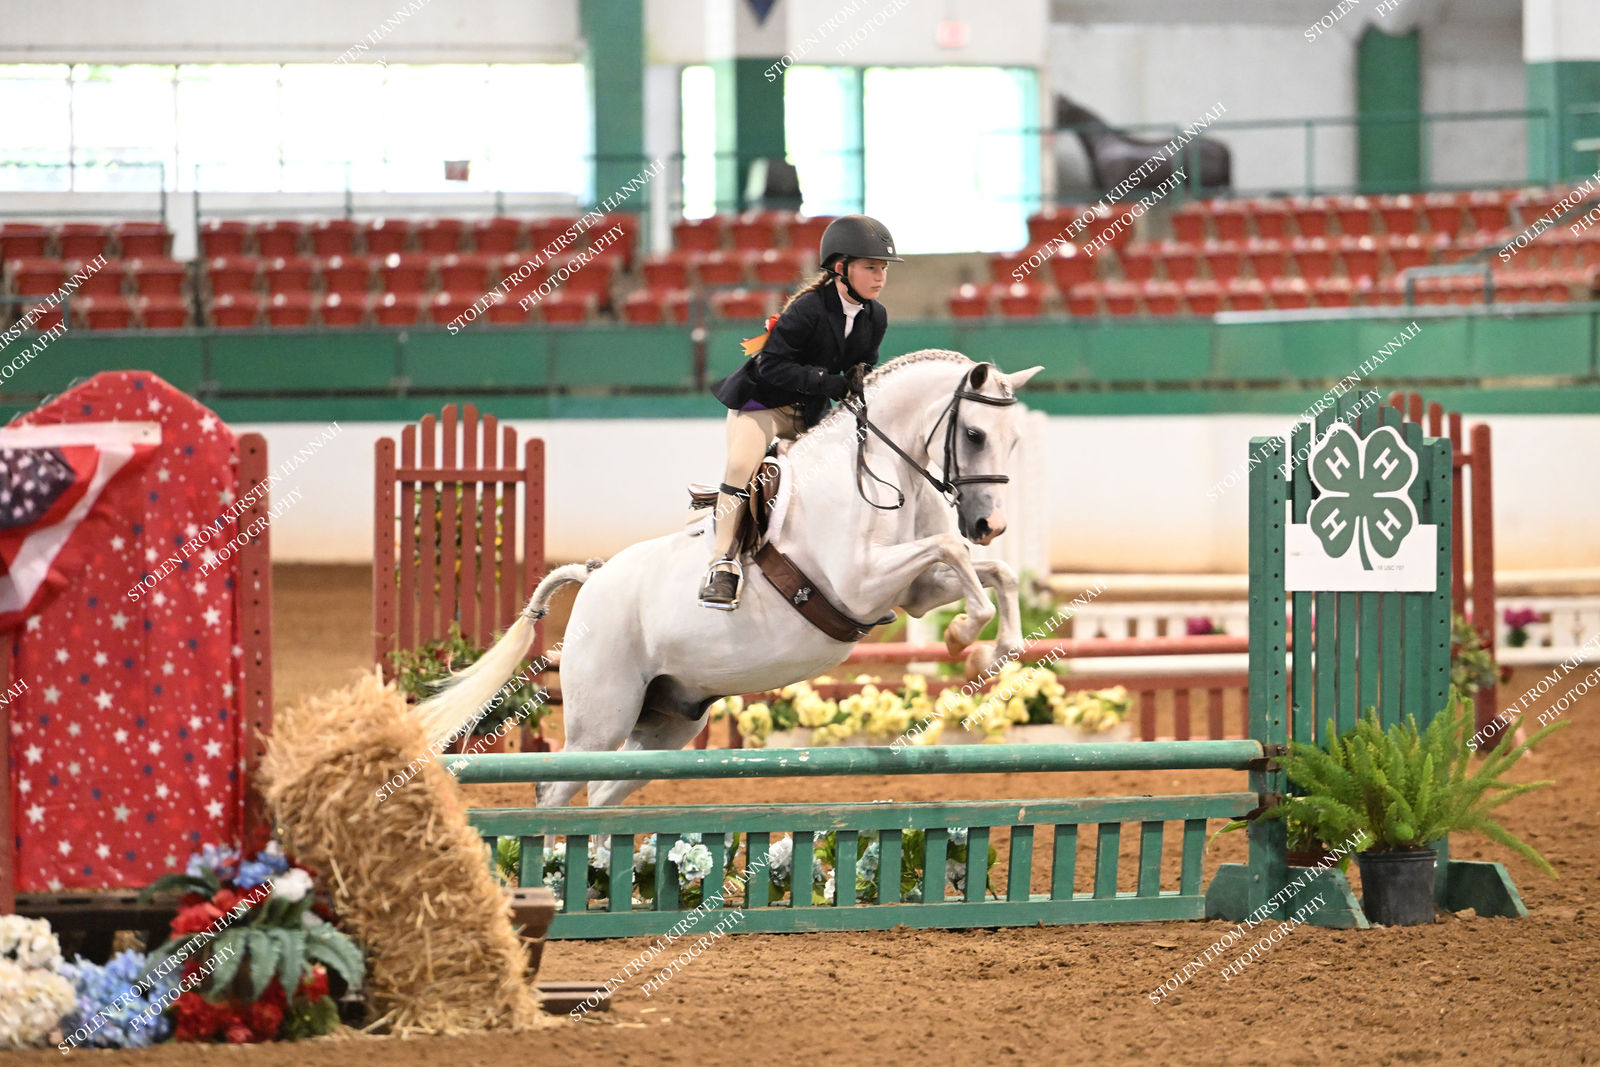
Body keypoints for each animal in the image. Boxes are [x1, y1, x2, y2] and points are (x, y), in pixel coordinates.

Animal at [414, 350, 1042, 807]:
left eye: (1016, 441)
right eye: (976, 435)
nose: (989, 525)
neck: (882, 471)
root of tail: (592, 582)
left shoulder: (912, 591)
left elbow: (994, 574)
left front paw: (989, 650)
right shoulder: (860, 585)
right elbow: (954, 552)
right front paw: (966, 636)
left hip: (664, 726)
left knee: (601, 792)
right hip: (601, 720)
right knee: (555, 789)